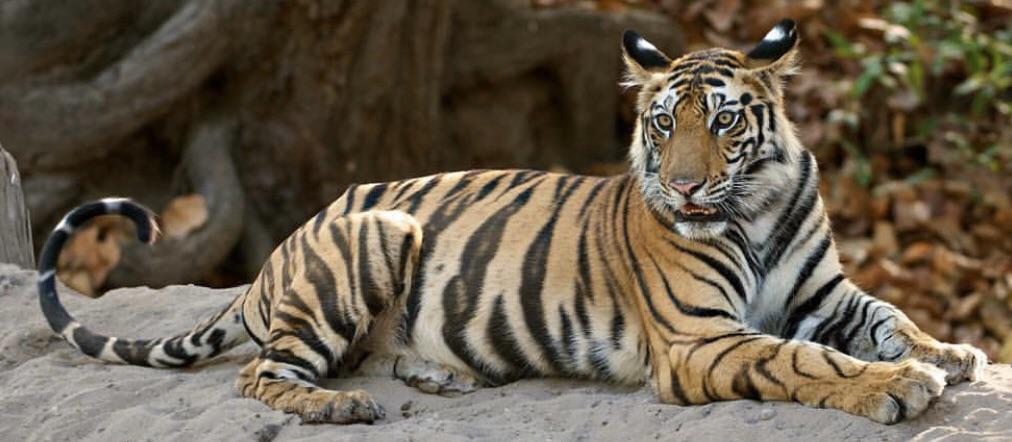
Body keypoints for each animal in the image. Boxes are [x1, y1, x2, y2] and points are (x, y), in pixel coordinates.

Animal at [37, 19, 986, 425]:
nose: (684, 189)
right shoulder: (699, 338)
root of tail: (278, 251)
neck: (750, 207)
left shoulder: (825, 292)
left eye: (722, 122)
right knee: (259, 373)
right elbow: (802, 360)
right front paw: (895, 386)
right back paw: (337, 406)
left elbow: (889, 315)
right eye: (661, 125)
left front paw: (950, 352)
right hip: (375, 234)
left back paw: (438, 375)